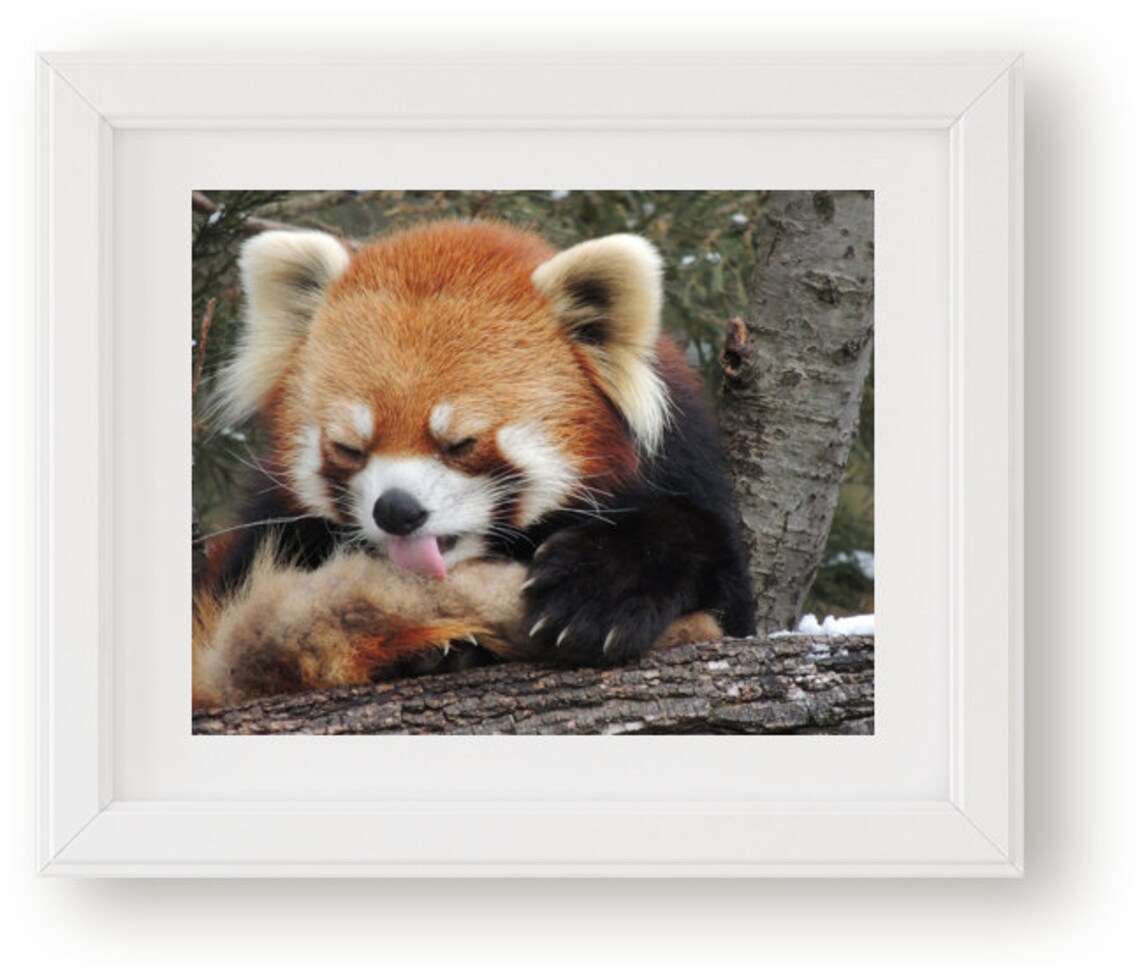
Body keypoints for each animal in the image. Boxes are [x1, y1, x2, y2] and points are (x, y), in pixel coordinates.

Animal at [193, 220, 754, 707]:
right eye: (350, 447)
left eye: (460, 443)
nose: (396, 511)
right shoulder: (267, 526)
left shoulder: (680, 465)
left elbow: (705, 557)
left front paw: (598, 590)